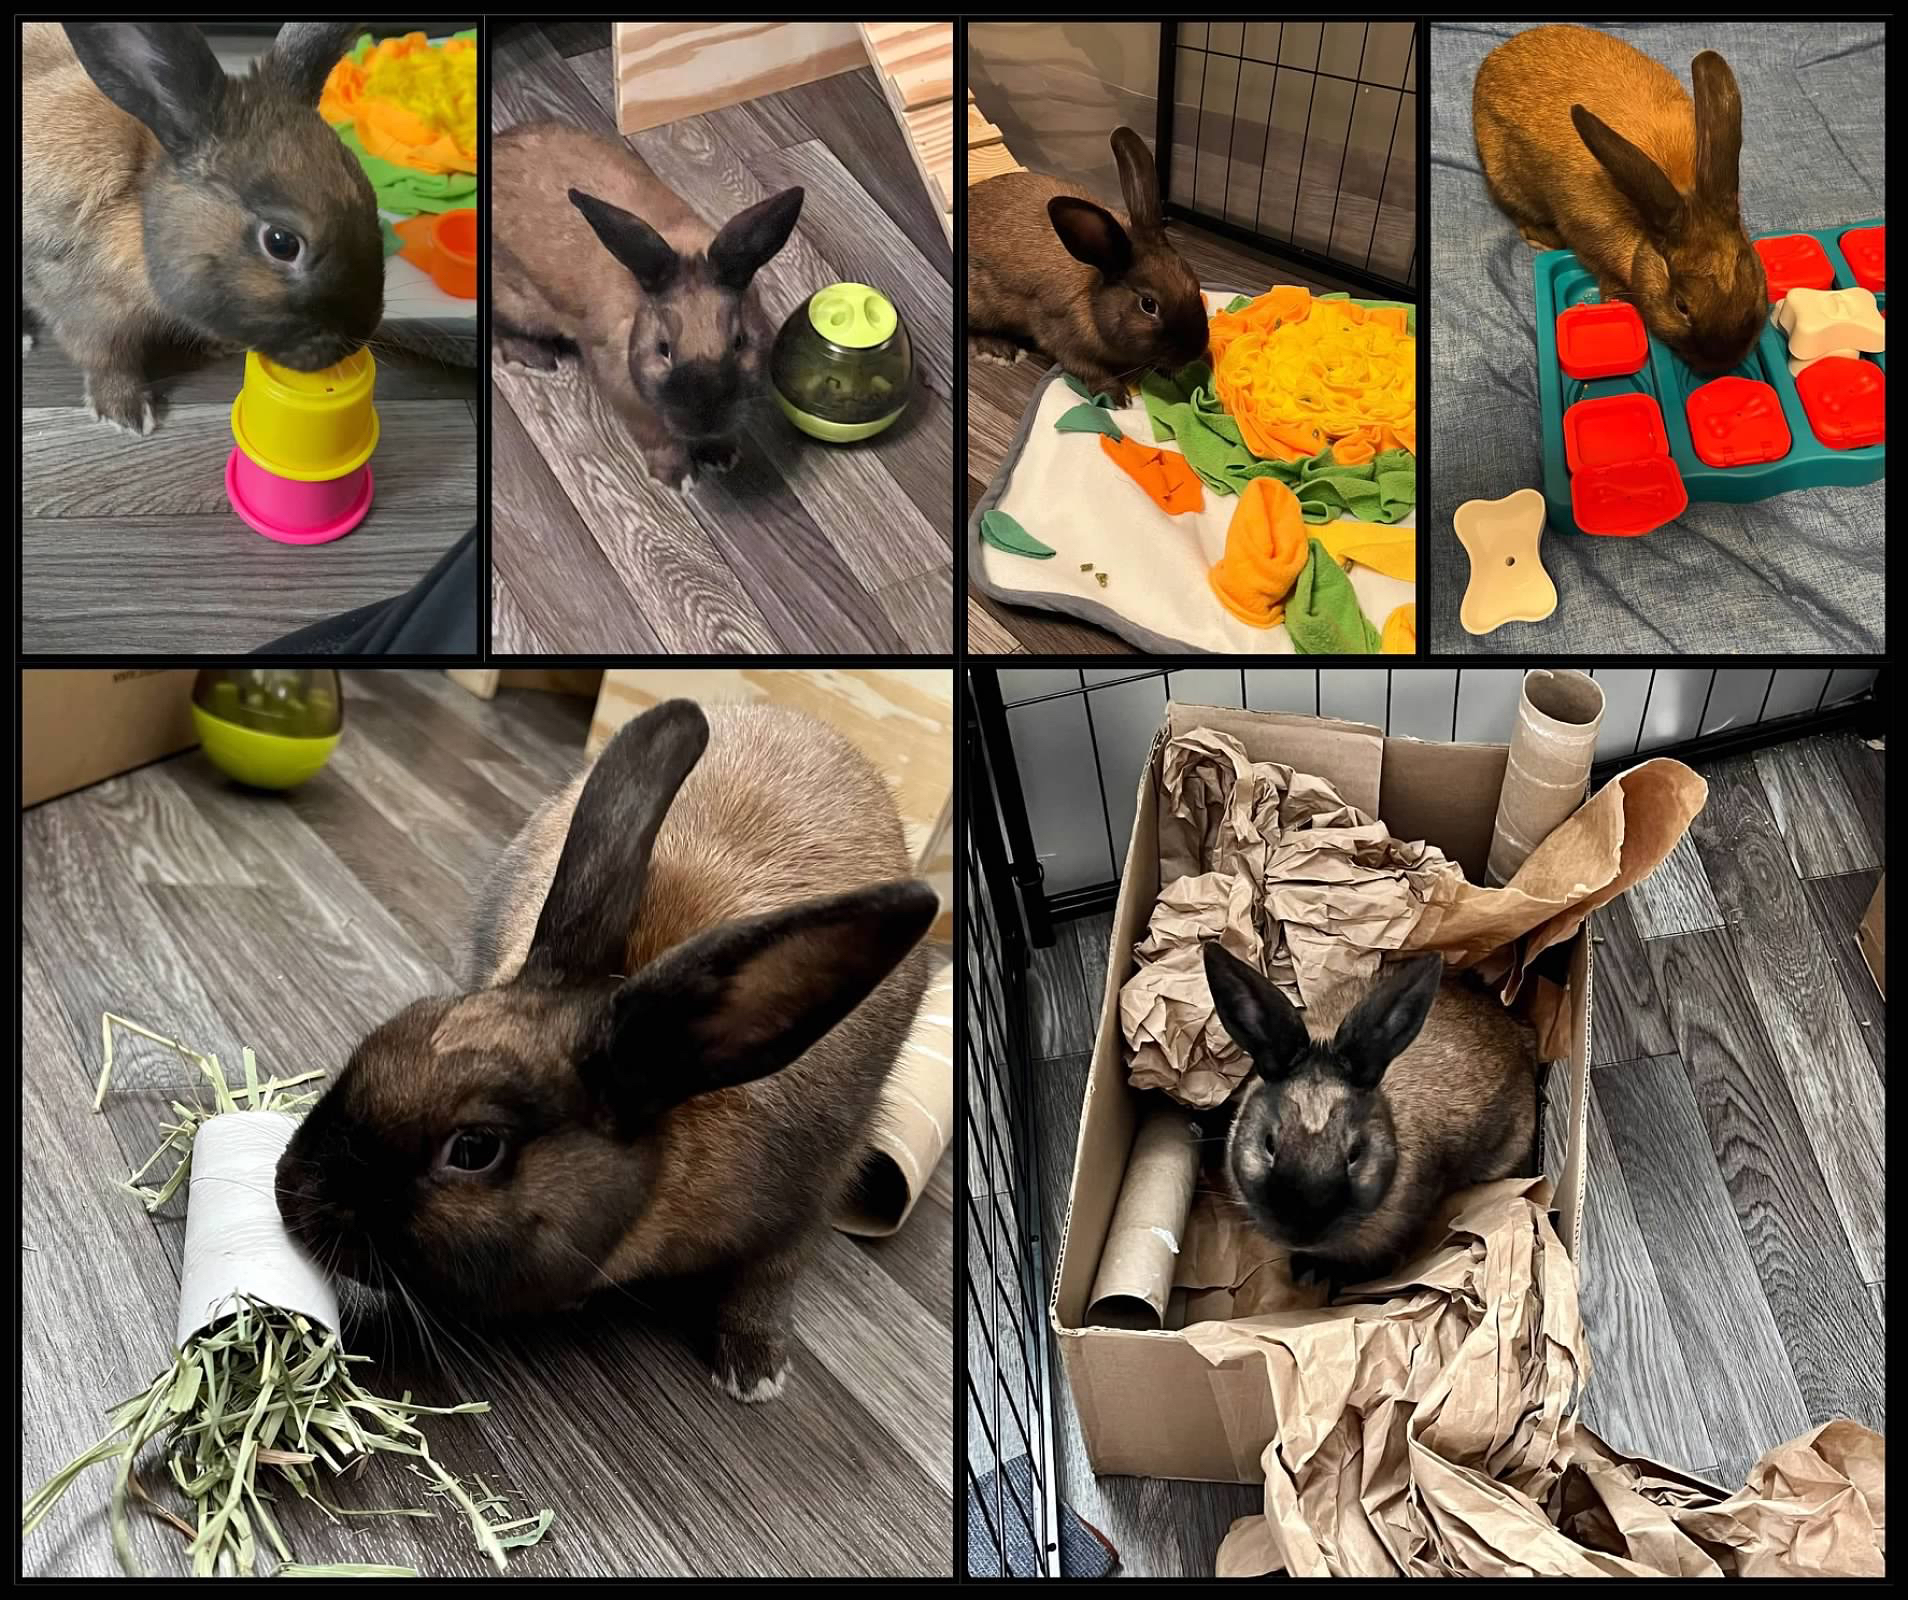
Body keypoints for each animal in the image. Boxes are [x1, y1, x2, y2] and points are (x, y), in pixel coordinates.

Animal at [20, 22, 383, 436]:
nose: (356, 338)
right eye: (282, 243)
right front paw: (128, 413)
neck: (139, 215)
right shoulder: (82, 309)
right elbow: (107, 360)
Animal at [276, 700, 937, 1402]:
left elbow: (770, 1276)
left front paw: (754, 1370)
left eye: (475, 1149)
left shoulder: (812, 1191)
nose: (289, 1190)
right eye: (393, 1032)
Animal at [491, 120, 804, 493]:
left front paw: (721, 456)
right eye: (663, 349)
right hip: (518, 305)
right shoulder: (629, 399)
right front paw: (678, 479)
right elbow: (657, 438)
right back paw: (532, 359)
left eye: (740, 342)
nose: (703, 419)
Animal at [967, 125, 1209, 405]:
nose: (1195, 350)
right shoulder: (1060, 336)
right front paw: (1116, 396)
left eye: (1195, 283)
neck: (1094, 297)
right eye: (1148, 305)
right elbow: (1086, 368)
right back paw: (1001, 350)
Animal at [1473, 25, 1766, 375]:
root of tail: (1495, 58)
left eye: (1754, 291)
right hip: (1505, 178)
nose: (1721, 364)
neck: (1682, 187)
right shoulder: (1586, 236)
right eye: (1681, 305)